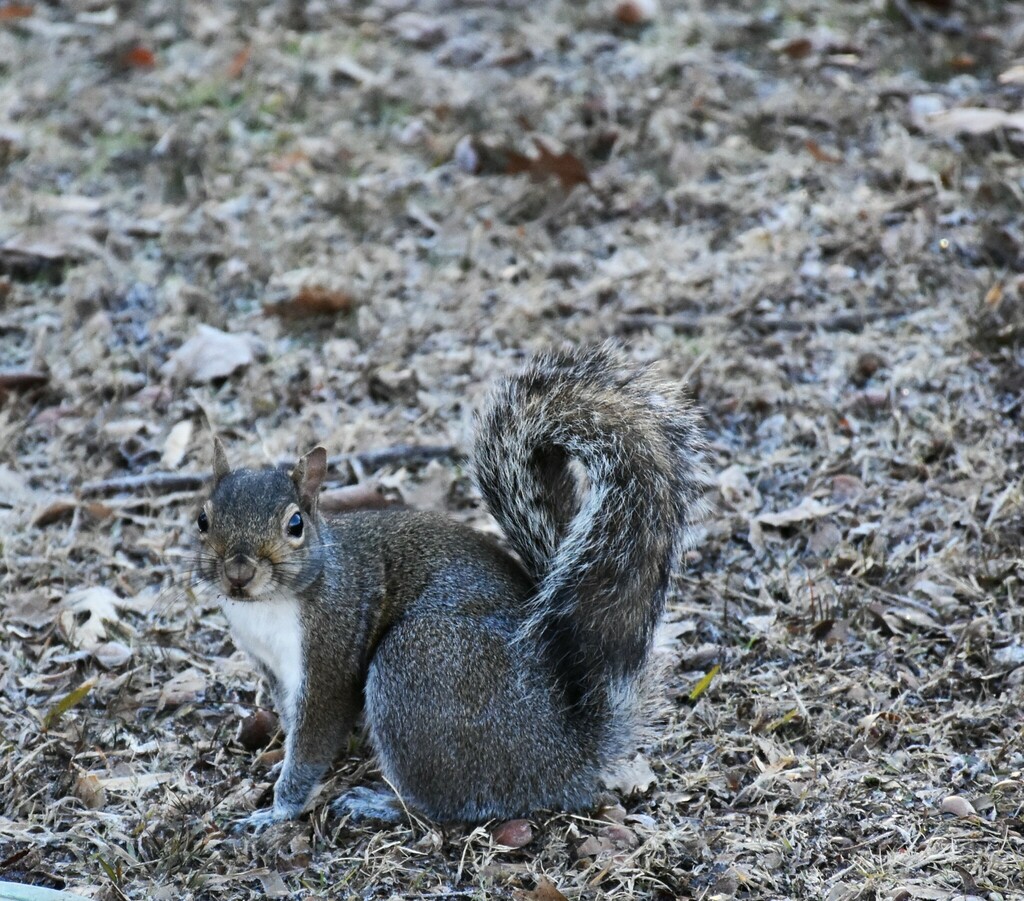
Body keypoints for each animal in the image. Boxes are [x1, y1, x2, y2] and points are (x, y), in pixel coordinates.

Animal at [194, 345, 710, 828]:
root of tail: (566, 753)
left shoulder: (328, 654)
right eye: (202, 518)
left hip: (418, 662)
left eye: (296, 524)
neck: (267, 607)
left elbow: (314, 735)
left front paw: (278, 809)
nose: (238, 571)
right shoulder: (271, 668)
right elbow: (292, 720)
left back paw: (380, 803)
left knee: (446, 804)